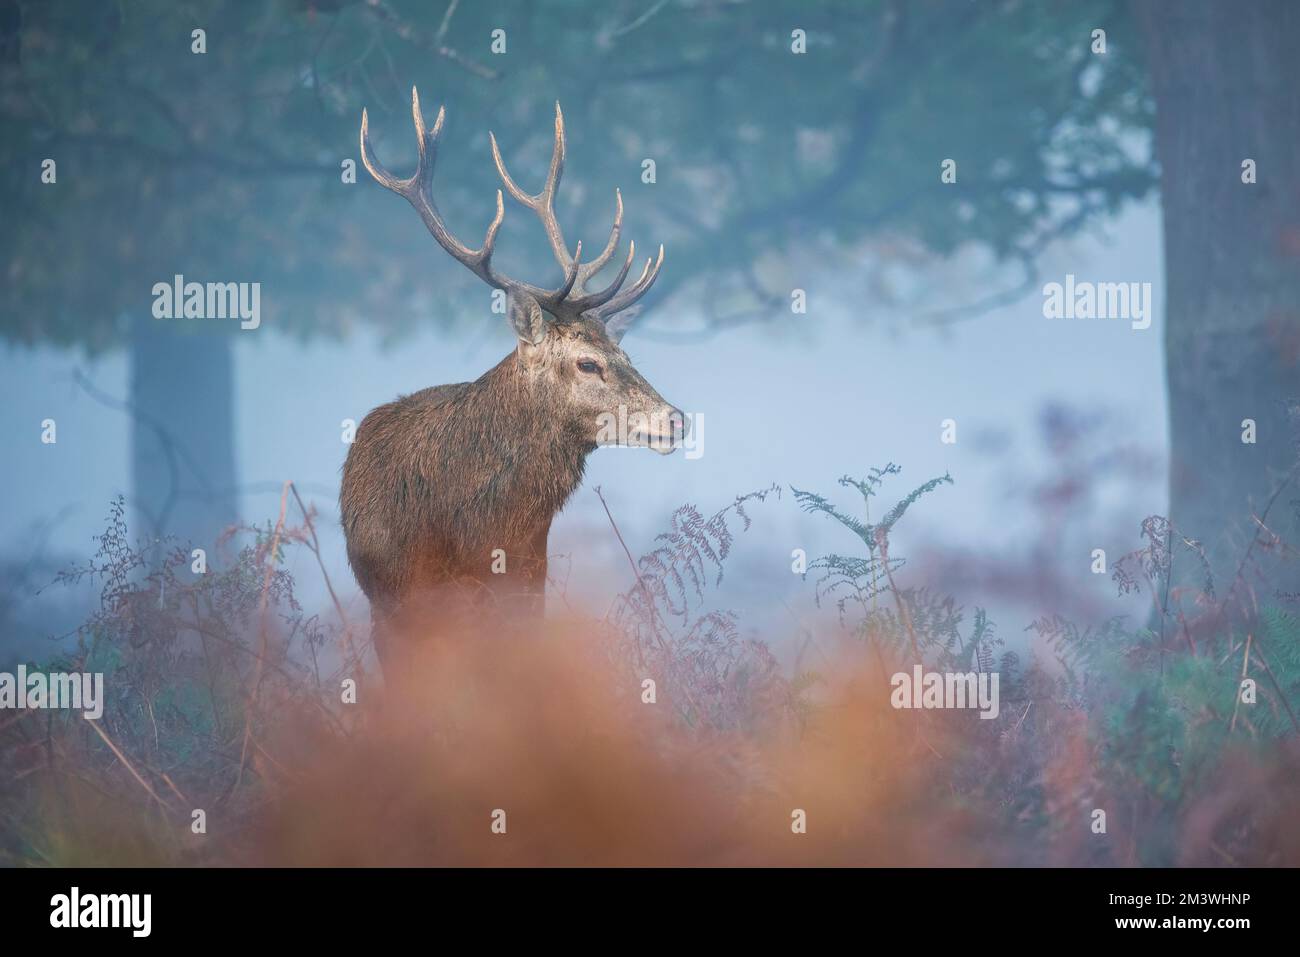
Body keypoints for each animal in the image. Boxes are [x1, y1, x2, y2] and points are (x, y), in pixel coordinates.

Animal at [341, 88, 683, 671]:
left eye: (625, 352)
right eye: (587, 363)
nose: (676, 419)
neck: (474, 539)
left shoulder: (527, 585)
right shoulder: (401, 602)